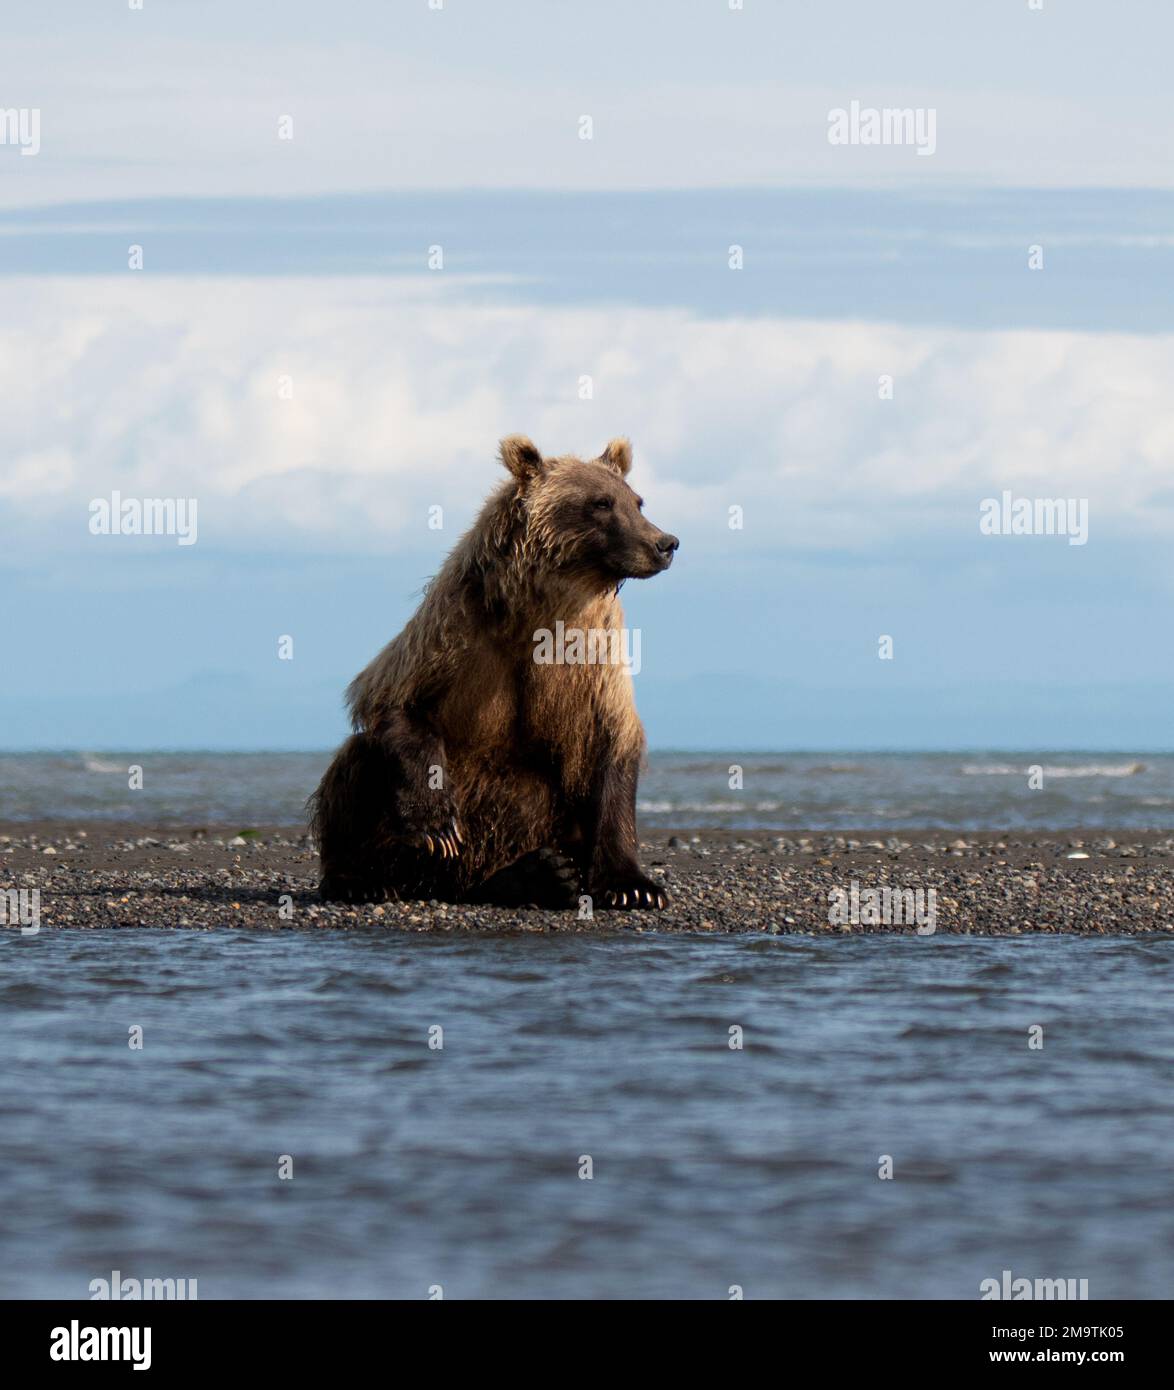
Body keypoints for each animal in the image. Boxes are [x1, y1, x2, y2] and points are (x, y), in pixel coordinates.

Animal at [309, 434, 679, 910]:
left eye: (637, 501)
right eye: (601, 503)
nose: (665, 542)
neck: (538, 612)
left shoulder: (595, 660)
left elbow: (612, 746)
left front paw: (634, 886)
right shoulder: (453, 631)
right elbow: (395, 702)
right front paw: (437, 823)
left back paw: (541, 874)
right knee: (358, 764)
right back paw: (361, 879)